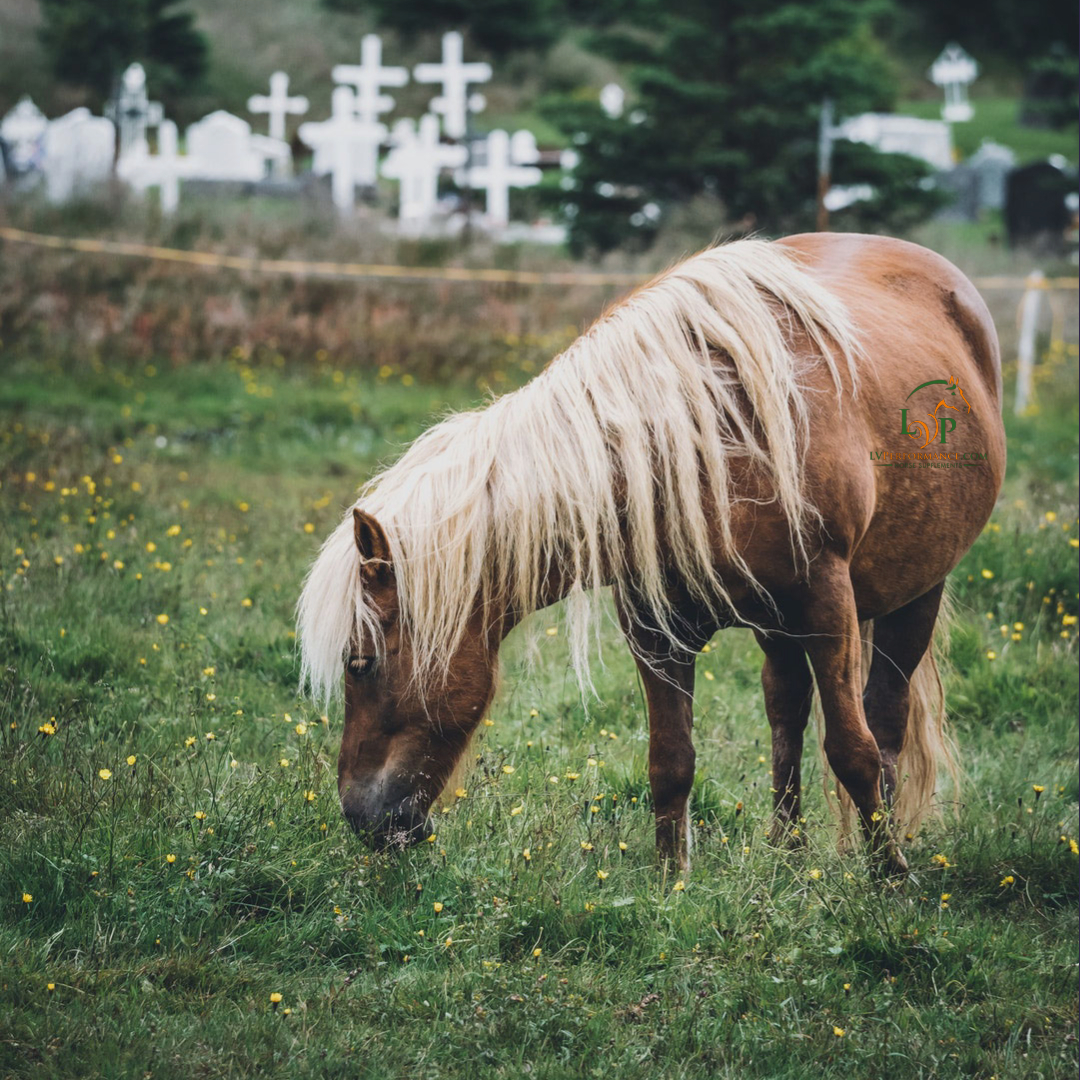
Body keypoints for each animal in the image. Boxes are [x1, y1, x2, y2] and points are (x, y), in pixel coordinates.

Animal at [297, 232, 1006, 876]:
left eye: (360, 663)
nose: (359, 818)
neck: (704, 444)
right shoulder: (654, 631)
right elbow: (671, 763)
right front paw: (671, 888)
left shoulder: (828, 606)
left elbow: (853, 750)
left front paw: (888, 886)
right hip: (778, 627)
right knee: (785, 709)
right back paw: (786, 852)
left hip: (916, 591)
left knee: (884, 721)